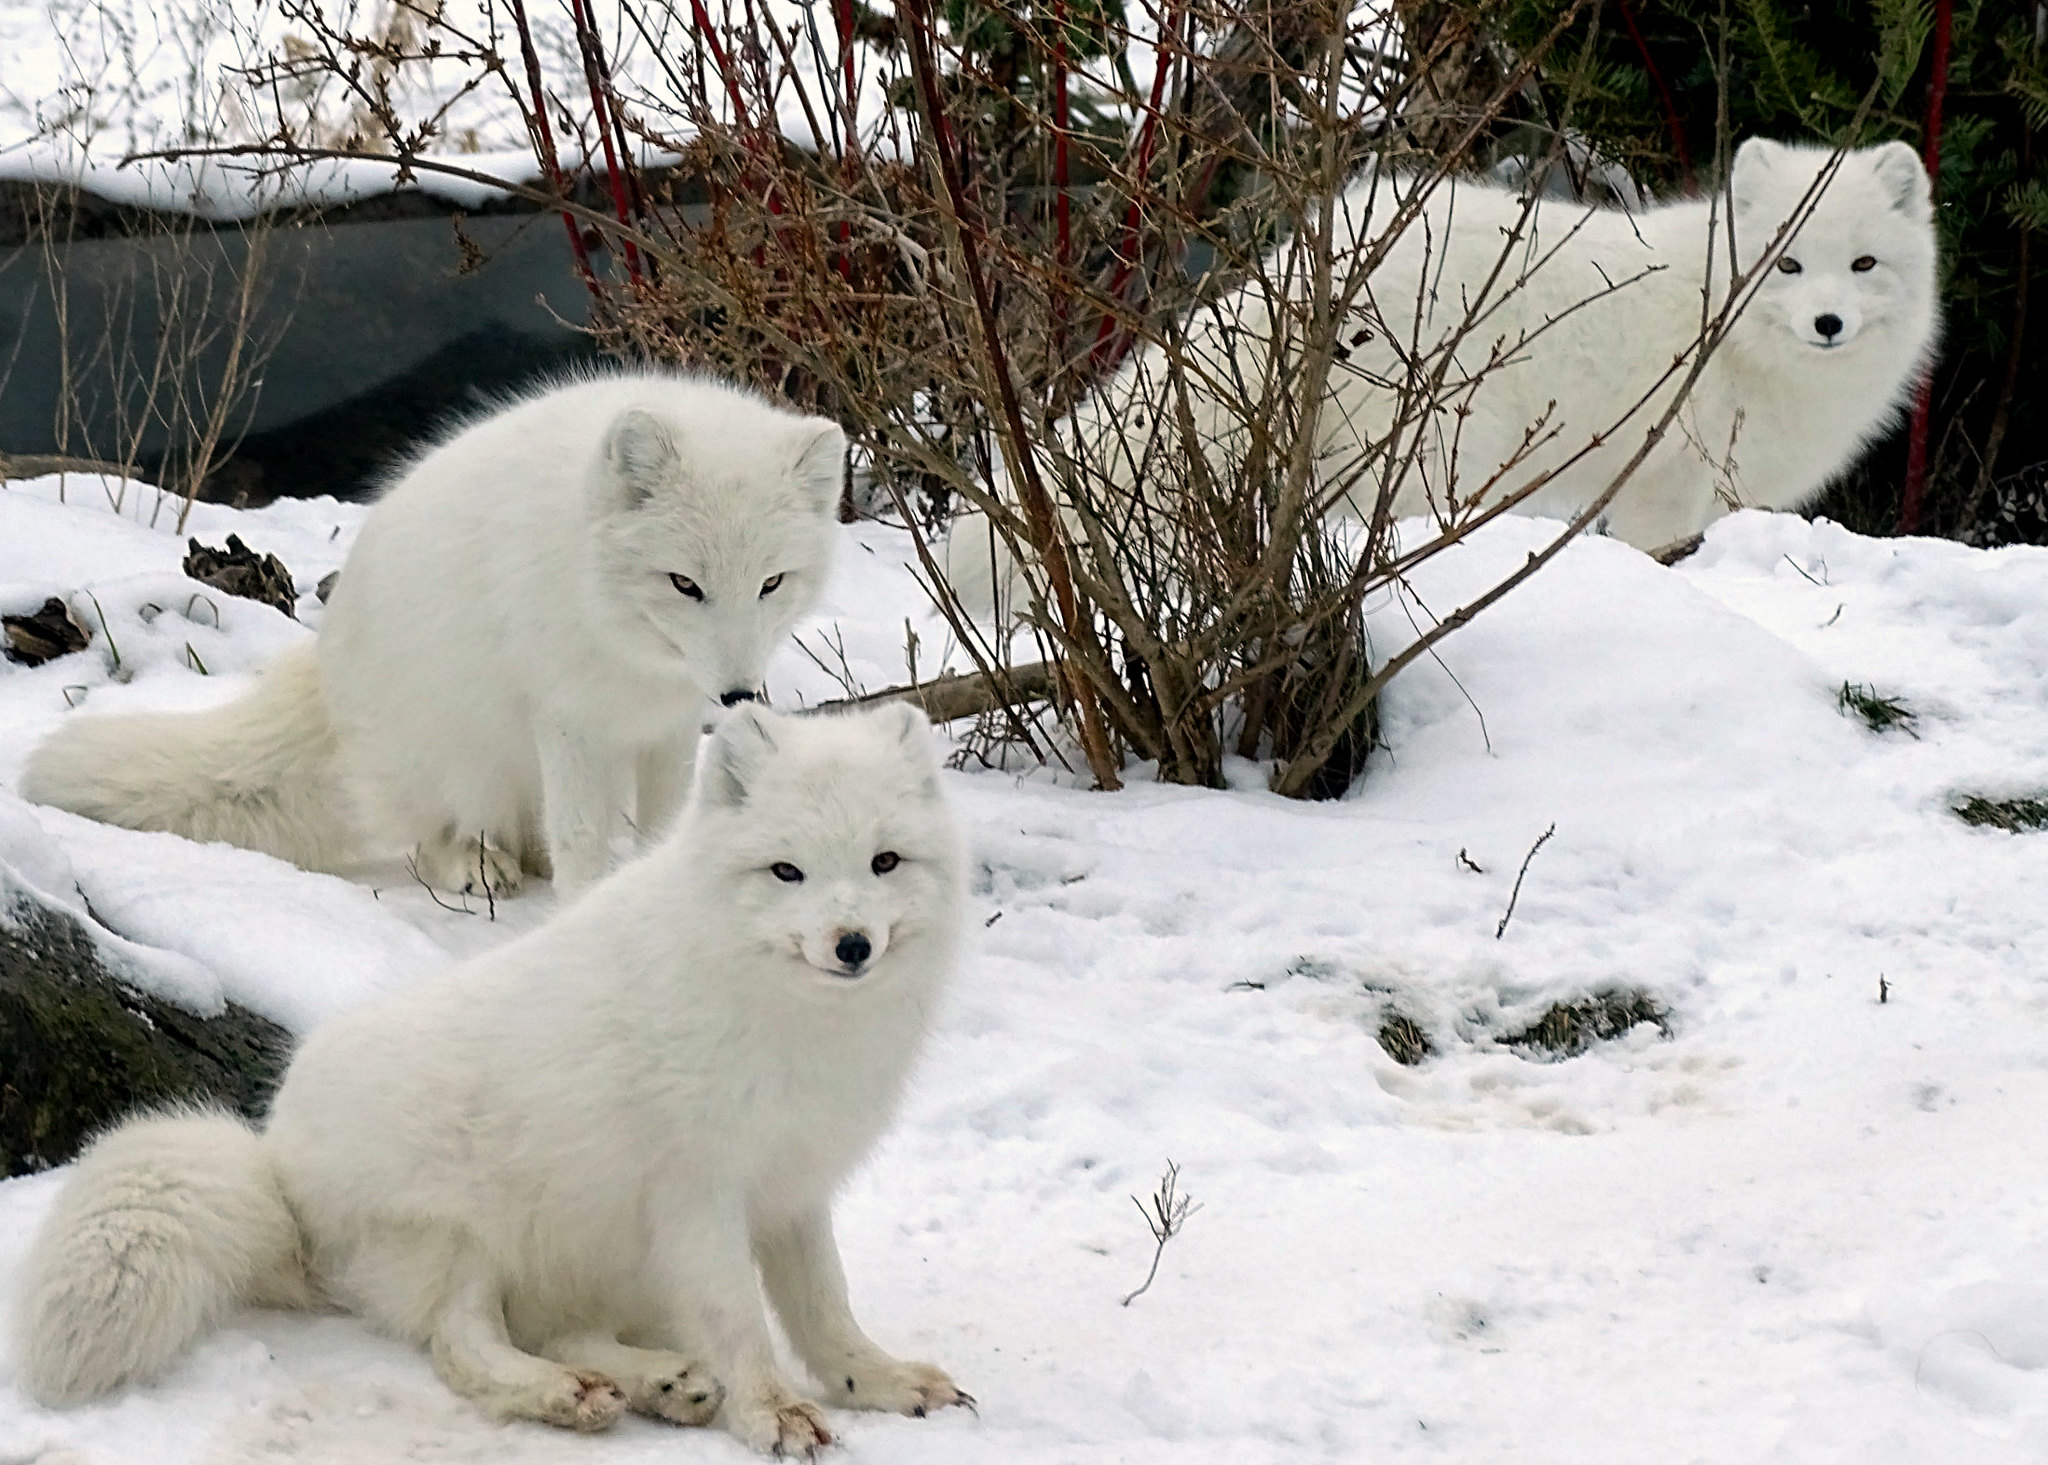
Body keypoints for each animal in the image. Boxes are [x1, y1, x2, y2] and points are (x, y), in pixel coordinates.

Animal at [13, 702, 970, 1459]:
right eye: (786, 871)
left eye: (885, 862)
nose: (853, 944)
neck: (790, 1020)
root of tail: (276, 1162)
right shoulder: (698, 1195)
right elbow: (742, 1320)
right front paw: (774, 1413)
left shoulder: (795, 1186)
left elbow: (823, 1307)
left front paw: (872, 1379)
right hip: (466, 1234)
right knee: (463, 1344)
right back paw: (568, 1392)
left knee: (561, 1329)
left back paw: (663, 1381)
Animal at [20, 371, 846, 896]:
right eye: (684, 584)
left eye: (771, 583)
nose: (738, 694)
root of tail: (327, 662)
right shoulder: (570, 718)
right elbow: (582, 839)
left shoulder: (666, 728)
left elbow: (661, 828)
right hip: (466, 755)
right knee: (431, 834)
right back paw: (475, 867)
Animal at [946, 136, 1940, 607]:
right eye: (1787, 262)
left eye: (1862, 266)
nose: (1828, 324)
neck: (1721, 324)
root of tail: (1308, 264)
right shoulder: (1664, 481)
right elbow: (1654, 554)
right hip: (1444, 452)